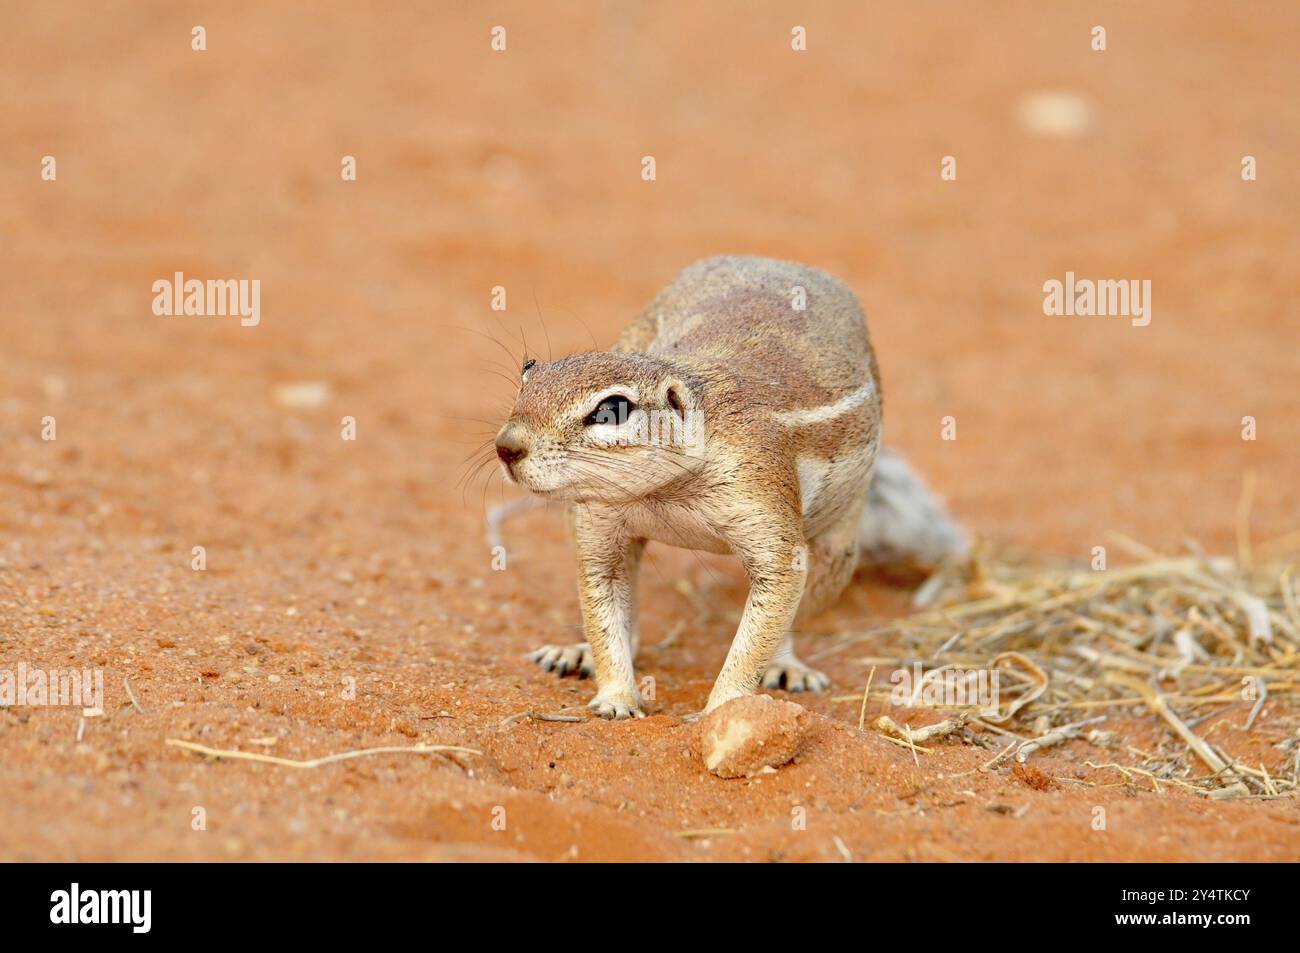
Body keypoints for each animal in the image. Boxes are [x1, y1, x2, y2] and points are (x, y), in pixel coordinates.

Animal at [494, 256, 966, 719]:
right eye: (527, 374)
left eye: (613, 409)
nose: (506, 447)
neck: (664, 490)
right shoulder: (598, 518)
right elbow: (603, 605)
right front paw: (616, 694)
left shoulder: (761, 499)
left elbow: (766, 619)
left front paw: (725, 704)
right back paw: (579, 653)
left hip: (840, 544)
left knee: (799, 608)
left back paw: (787, 665)